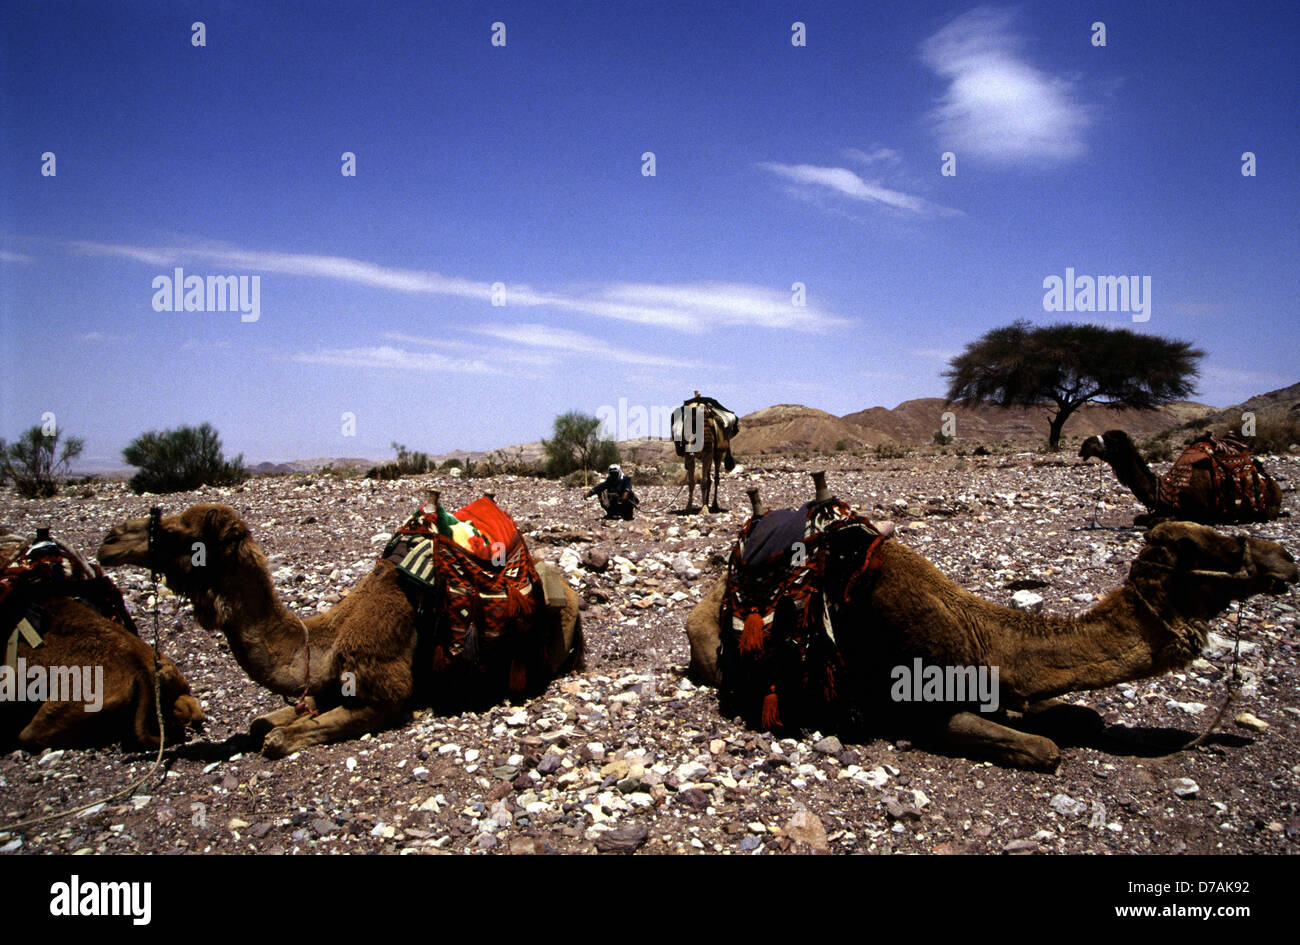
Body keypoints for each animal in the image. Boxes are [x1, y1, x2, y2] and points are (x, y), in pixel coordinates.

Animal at [97, 502, 583, 758]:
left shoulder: (384, 689)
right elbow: (263, 721)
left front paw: (280, 735)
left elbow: (277, 738)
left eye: (182, 533)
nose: (109, 540)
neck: (324, 641)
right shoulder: (323, 683)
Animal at [686, 476, 1298, 771]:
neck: (987, 642)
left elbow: (1078, 716)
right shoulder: (919, 707)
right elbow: (1044, 749)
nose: (1284, 560)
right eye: (1209, 546)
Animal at [1080, 430, 1283, 525]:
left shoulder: (1197, 513)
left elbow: (1154, 521)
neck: (1165, 489)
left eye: (1111, 441)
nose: (1084, 445)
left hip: (1268, 509)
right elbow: (1140, 518)